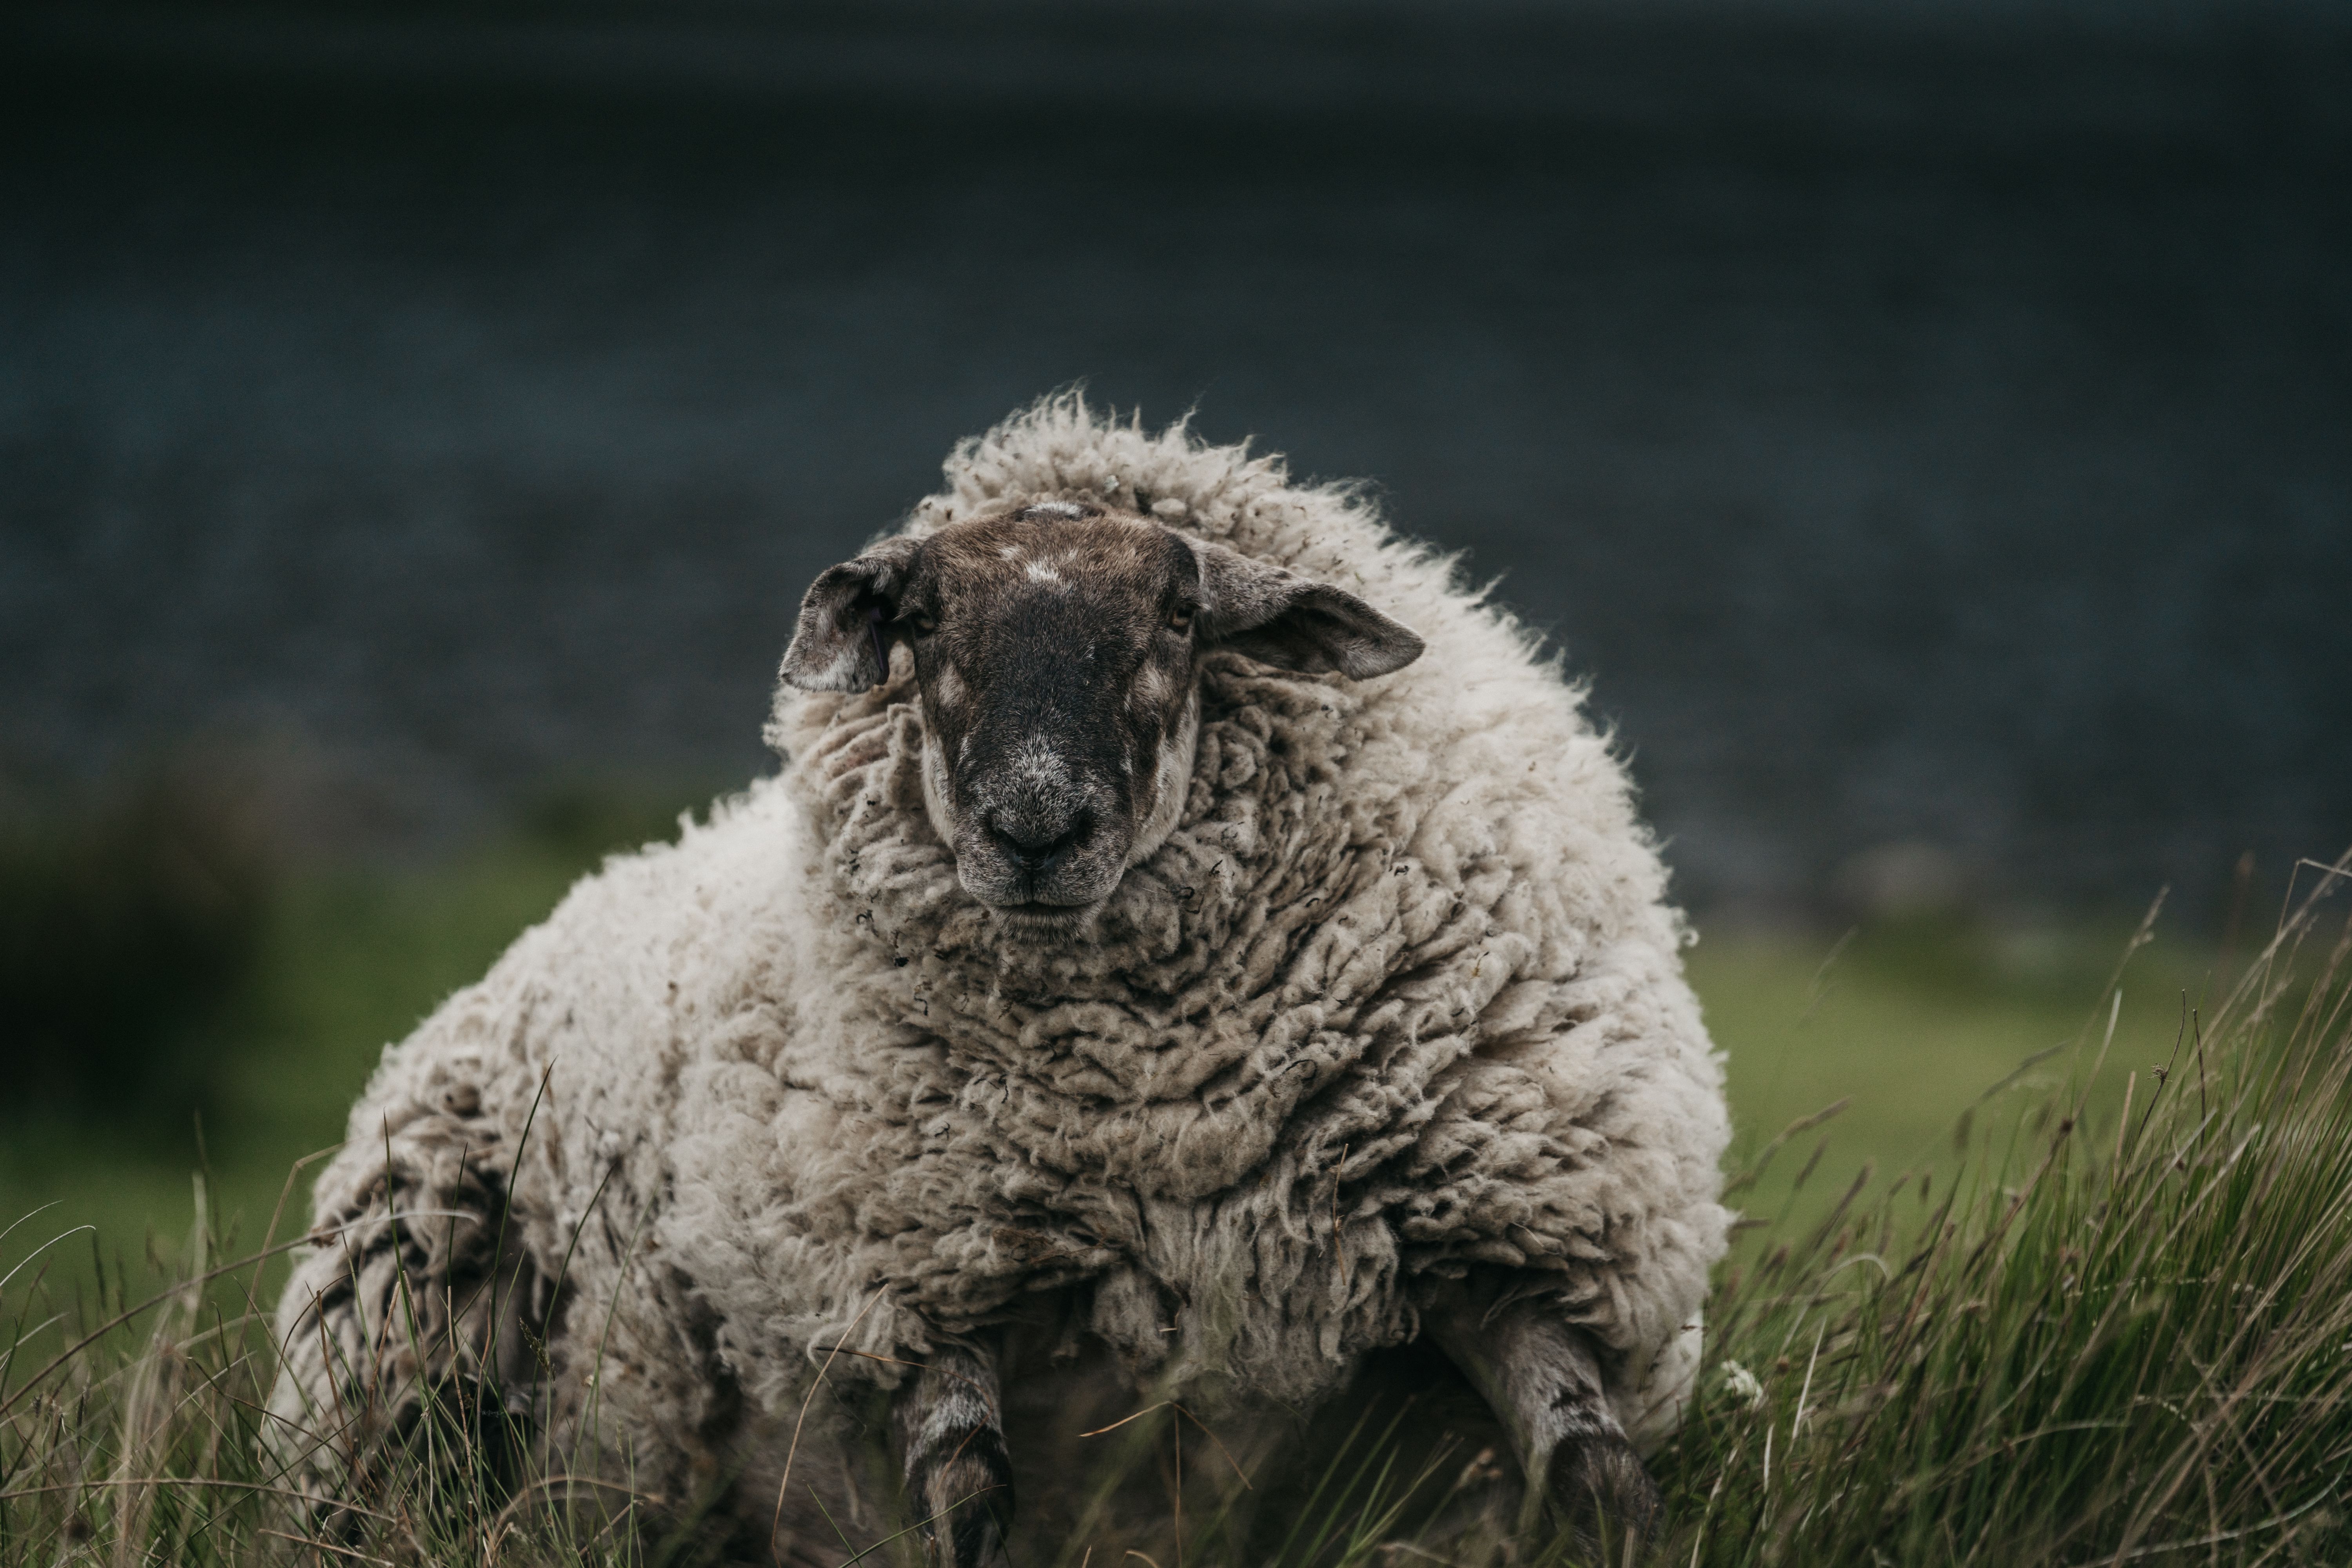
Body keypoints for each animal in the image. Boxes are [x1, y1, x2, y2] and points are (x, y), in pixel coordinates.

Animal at [266, 394, 1732, 1564]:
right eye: (919, 621)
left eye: (1181, 616)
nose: (1033, 827)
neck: (1176, 1125)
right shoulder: (922, 1285)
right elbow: (969, 1509)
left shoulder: (1505, 1266)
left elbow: (1604, 1485)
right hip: (401, 1342)